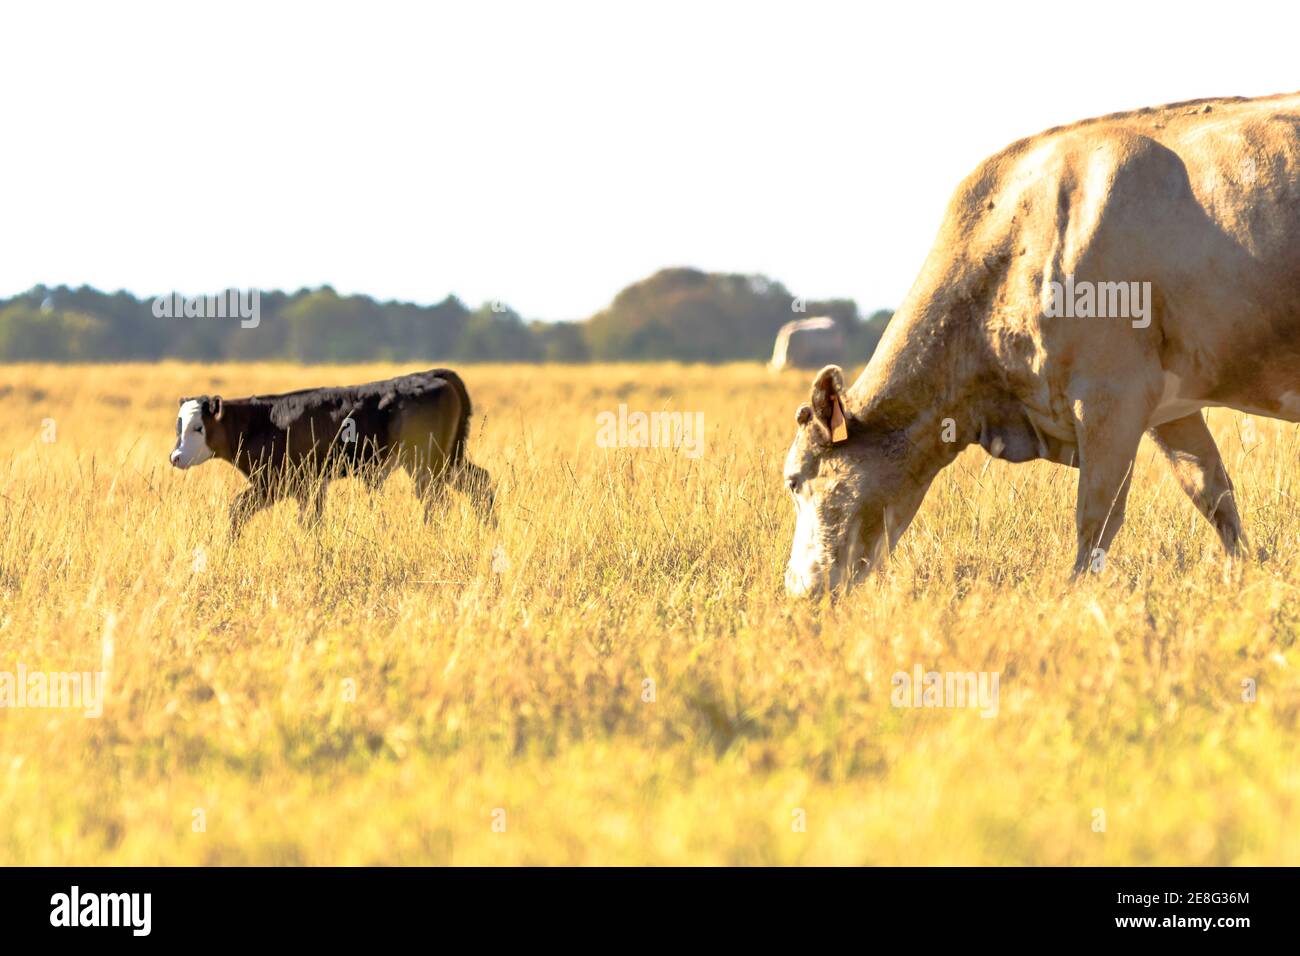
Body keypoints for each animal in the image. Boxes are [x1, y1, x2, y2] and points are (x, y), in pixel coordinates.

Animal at [170, 368, 494, 537]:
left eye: (198, 427)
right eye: (179, 425)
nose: (176, 457)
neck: (260, 422)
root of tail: (431, 375)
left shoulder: (276, 483)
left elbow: (238, 508)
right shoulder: (308, 486)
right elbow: (310, 520)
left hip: (425, 462)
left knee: (435, 500)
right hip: (449, 460)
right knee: (479, 484)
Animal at [784, 92, 1300, 597]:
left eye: (793, 481)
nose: (796, 589)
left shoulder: (1111, 394)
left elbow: (1096, 516)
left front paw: (1074, 592)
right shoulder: (1171, 407)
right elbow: (1211, 492)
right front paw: (1240, 576)